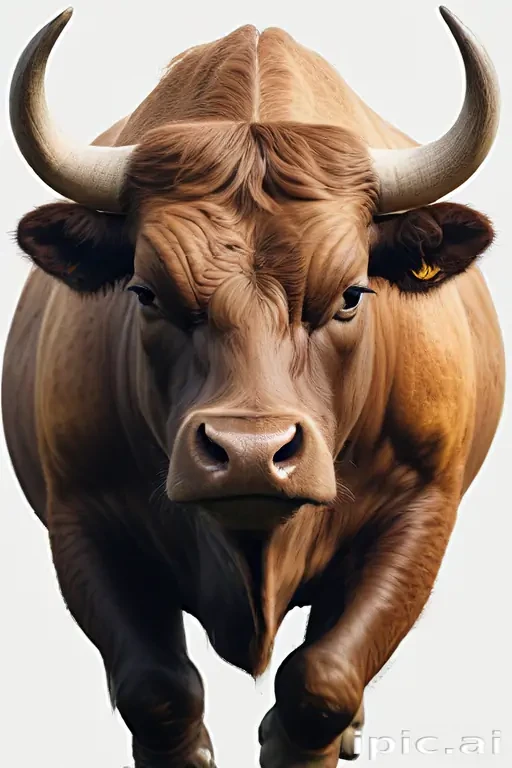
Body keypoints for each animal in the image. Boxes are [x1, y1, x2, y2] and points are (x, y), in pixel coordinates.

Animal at [1, 6, 505, 767]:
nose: (249, 453)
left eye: (352, 295)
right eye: (146, 292)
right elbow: (158, 693)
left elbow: (321, 684)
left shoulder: (422, 508)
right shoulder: (80, 514)